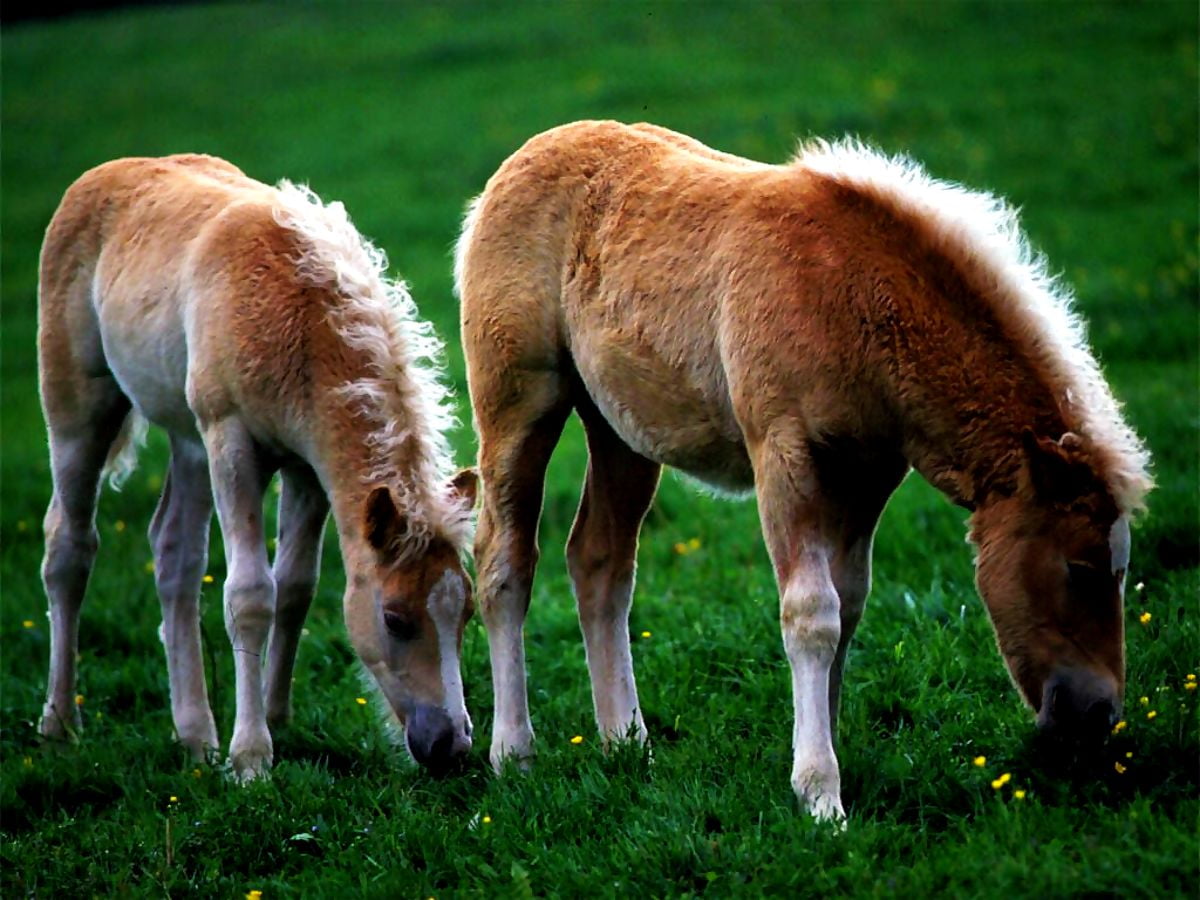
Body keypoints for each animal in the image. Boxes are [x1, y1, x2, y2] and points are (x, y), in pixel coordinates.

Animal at [37, 154, 477, 779]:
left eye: (466, 612)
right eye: (395, 618)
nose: (451, 746)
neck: (300, 320)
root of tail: (104, 174)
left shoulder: (307, 467)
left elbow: (293, 587)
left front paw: (276, 719)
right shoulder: (232, 442)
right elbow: (248, 595)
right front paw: (250, 757)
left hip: (188, 439)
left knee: (174, 552)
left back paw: (195, 734)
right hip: (81, 405)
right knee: (69, 545)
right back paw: (59, 725)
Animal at [455, 121, 1152, 821]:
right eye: (1080, 568)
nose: (1098, 715)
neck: (853, 301)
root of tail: (517, 162)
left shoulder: (867, 476)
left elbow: (849, 604)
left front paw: (825, 754)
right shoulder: (784, 458)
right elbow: (813, 613)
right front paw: (820, 793)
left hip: (621, 427)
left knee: (599, 560)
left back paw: (628, 747)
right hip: (520, 402)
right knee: (504, 561)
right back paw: (513, 754)